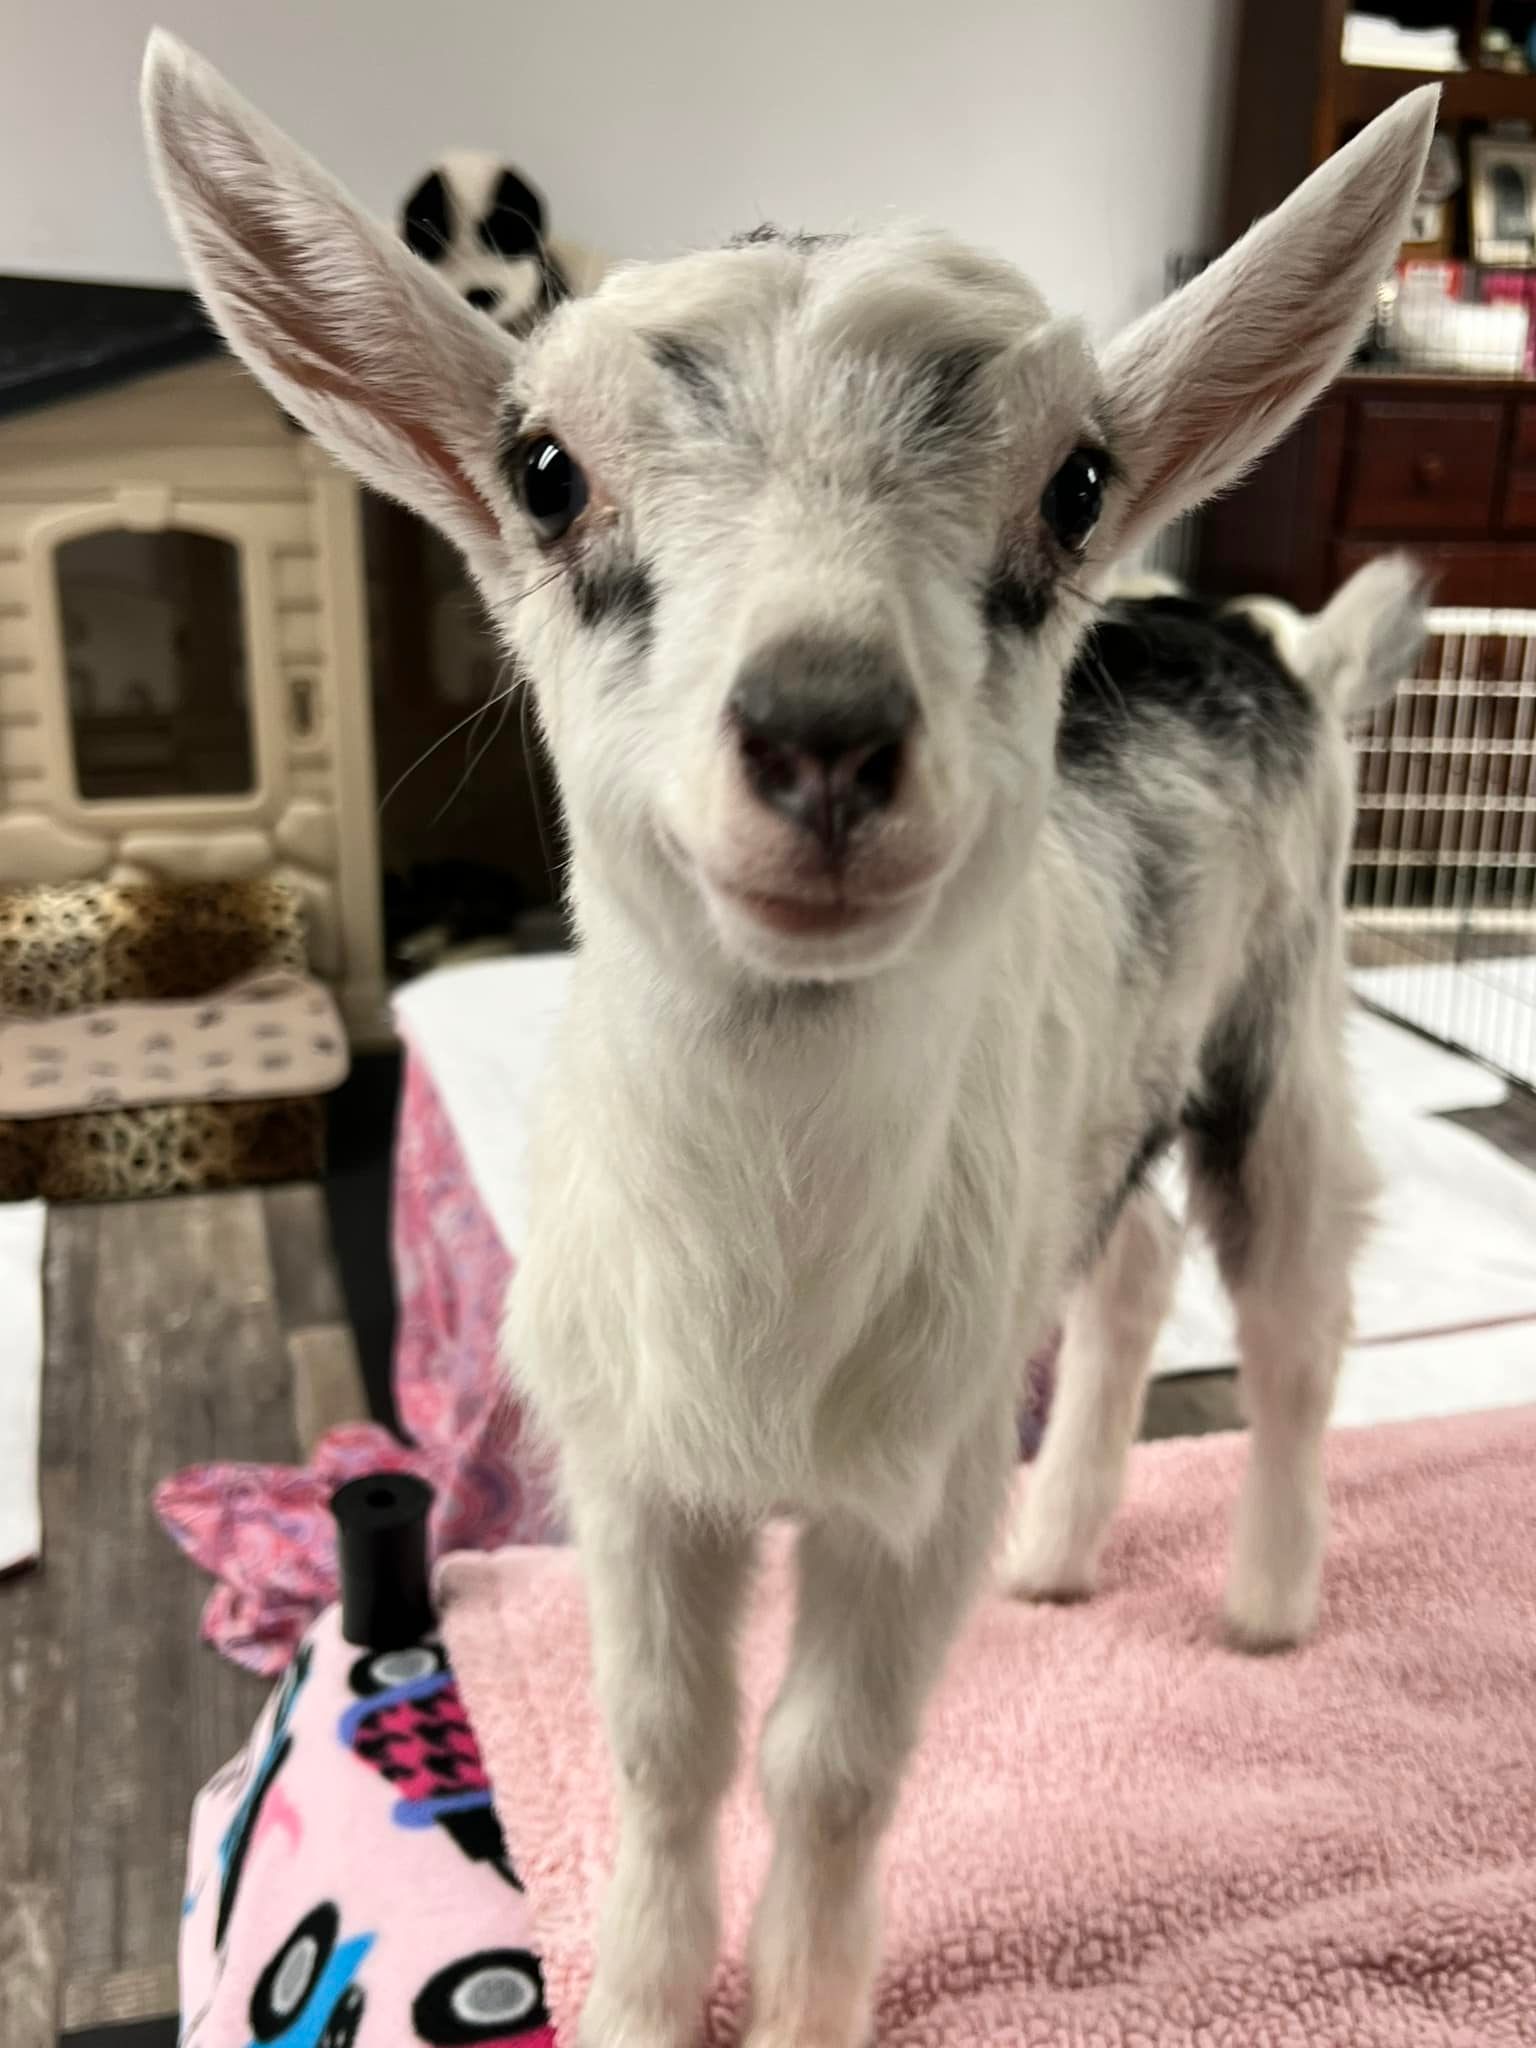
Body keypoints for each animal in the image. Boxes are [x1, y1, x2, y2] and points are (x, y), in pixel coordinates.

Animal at [143, 40, 1434, 2044]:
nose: (824, 729)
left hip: (1278, 1021)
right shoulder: (635, 1471)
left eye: (1076, 482)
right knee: (1133, 1264)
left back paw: (1268, 1599)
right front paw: (640, 2002)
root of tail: (1256, 633)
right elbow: (666, 1752)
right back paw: (1059, 1553)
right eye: (543, 470)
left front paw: (809, 1999)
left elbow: (827, 1767)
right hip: (1096, 1103)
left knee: (1295, 1313)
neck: (766, 1283)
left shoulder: (912, 1479)